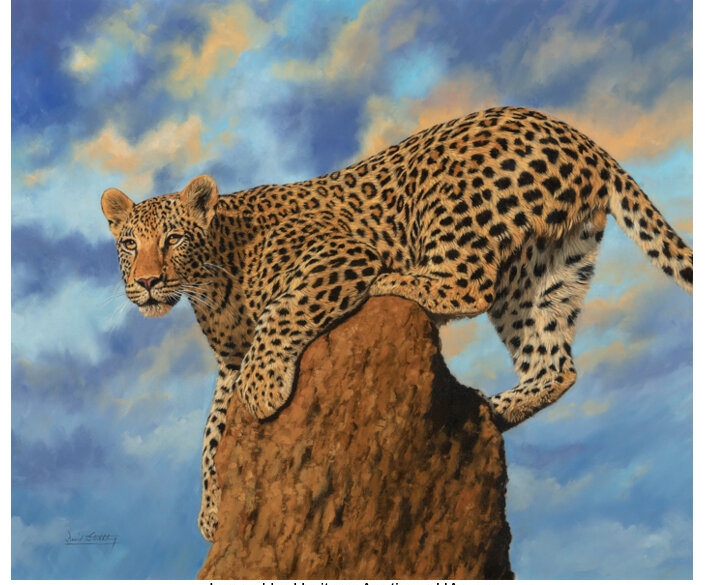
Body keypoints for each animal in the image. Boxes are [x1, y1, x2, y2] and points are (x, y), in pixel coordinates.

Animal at [101, 106, 693, 542]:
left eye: (173, 239)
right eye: (129, 244)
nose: (148, 282)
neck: (211, 280)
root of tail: (581, 137)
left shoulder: (339, 253)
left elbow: (284, 312)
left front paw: (266, 388)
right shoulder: (226, 363)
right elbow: (211, 432)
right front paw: (211, 511)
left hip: (453, 202)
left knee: (466, 281)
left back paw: (395, 284)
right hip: (547, 268)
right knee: (556, 364)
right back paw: (489, 412)